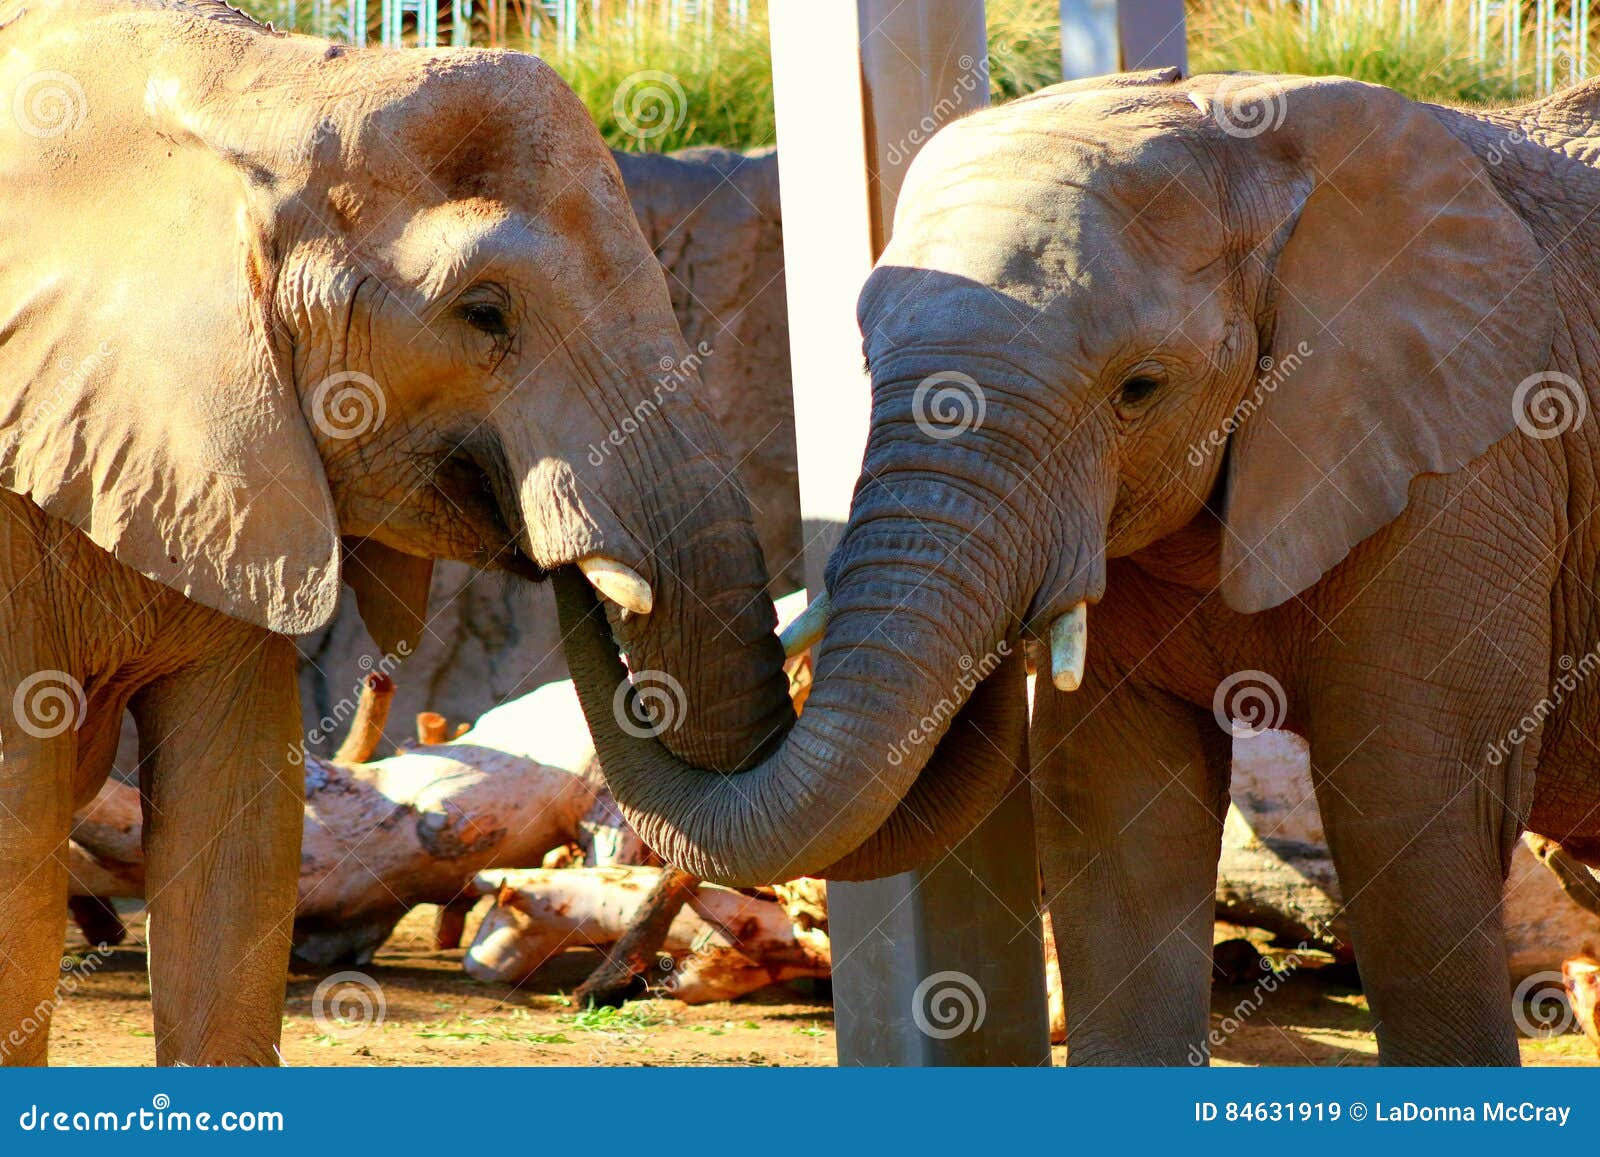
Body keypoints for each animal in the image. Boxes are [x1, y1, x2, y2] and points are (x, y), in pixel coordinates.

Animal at [562, 66, 1600, 1066]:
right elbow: (1119, 814)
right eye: (863, 363)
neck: (1257, 129)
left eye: (1141, 388)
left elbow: (1410, 807)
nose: (573, 561)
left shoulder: (1476, 459)